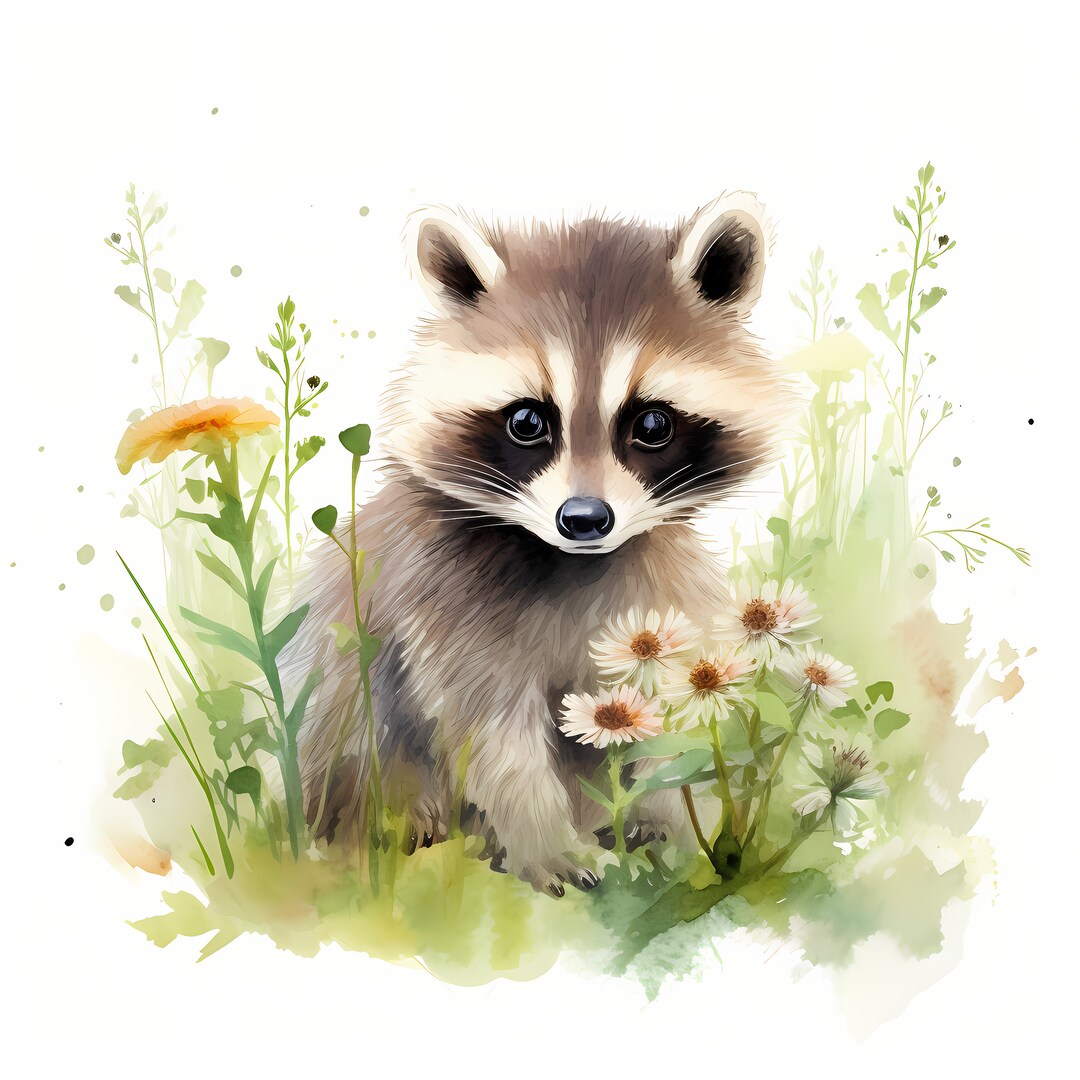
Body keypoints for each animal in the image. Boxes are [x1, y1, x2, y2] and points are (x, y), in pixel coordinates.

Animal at [281, 194, 792, 895]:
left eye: (652, 423)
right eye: (527, 421)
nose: (585, 519)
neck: (575, 562)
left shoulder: (663, 595)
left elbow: (670, 708)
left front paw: (675, 820)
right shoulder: (441, 598)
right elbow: (495, 734)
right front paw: (546, 842)